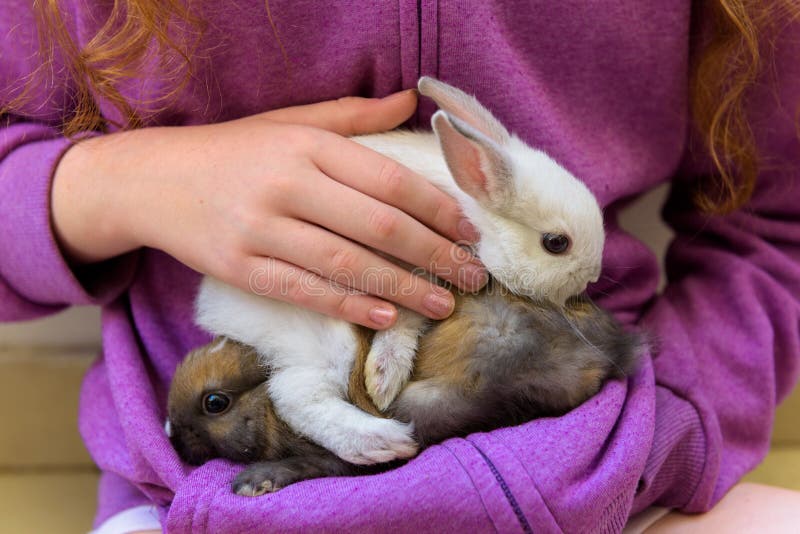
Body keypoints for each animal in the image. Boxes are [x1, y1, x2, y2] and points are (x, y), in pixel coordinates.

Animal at [193, 77, 606, 467]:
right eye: (556, 243)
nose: (593, 277)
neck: (474, 216)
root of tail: (214, 306)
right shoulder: (409, 282)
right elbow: (399, 325)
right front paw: (384, 378)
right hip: (318, 333)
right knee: (294, 394)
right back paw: (378, 441)